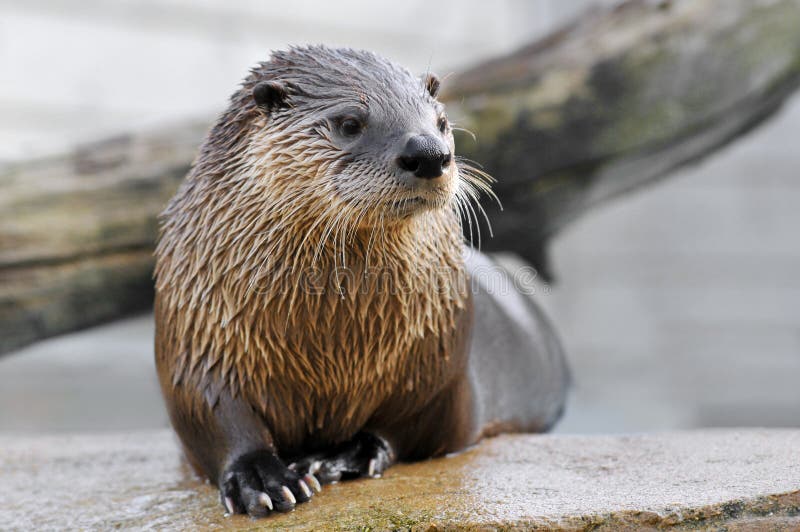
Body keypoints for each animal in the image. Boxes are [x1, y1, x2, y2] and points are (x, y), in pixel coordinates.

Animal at [155, 45, 568, 517]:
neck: (331, 344)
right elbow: (212, 417)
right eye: (350, 122)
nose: (430, 152)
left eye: (442, 122)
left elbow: (409, 421)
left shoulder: (435, 354)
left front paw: (342, 455)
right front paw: (259, 476)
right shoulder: (198, 340)